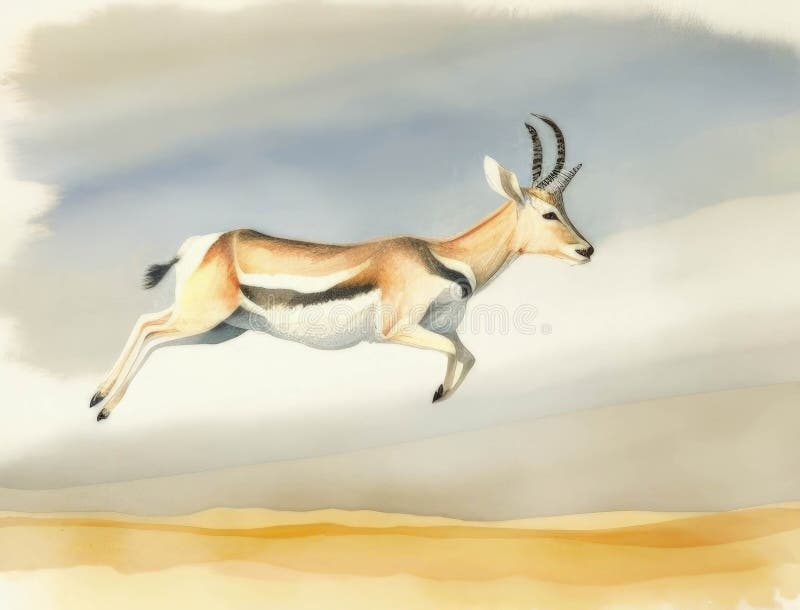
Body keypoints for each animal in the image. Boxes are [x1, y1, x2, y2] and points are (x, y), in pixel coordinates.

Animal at [90, 114, 593, 421]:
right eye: (547, 213)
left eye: (564, 206)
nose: (586, 250)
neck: (441, 255)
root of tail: (206, 242)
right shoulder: (396, 330)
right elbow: (456, 354)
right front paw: (436, 393)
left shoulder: (443, 329)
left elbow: (467, 355)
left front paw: (440, 395)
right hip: (203, 318)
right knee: (147, 324)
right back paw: (102, 403)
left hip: (218, 330)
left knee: (153, 332)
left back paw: (100, 401)